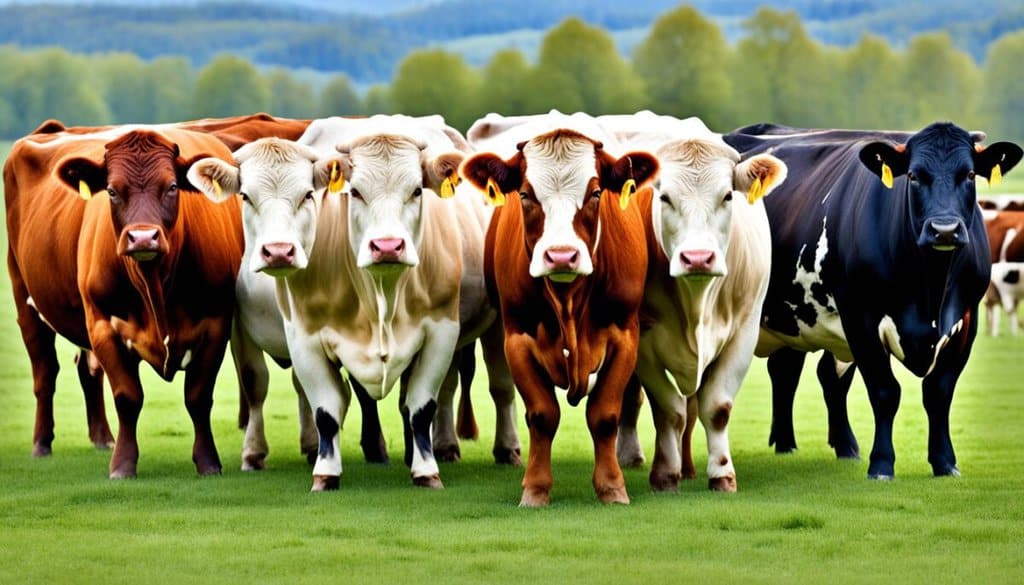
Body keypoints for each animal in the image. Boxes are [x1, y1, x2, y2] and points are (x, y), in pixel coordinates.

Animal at [5, 124, 244, 477]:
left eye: (172, 186)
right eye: (112, 191)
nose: (143, 237)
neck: (154, 284)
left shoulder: (216, 324)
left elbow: (198, 397)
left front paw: (207, 462)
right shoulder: (103, 324)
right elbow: (127, 396)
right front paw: (123, 464)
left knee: (86, 370)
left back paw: (102, 438)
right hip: (25, 299)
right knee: (45, 373)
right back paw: (42, 444)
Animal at [188, 115, 520, 491]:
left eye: (416, 190)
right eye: (356, 191)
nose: (388, 246)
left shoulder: (441, 331)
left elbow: (421, 407)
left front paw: (425, 470)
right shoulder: (301, 337)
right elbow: (326, 409)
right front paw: (324, 473)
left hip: (494, 325)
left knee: (497, 385)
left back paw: (497, 448)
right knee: (260, 385)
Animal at [462, 111, 659, 506]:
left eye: (596, 192)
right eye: (525, 194)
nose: (562, 255)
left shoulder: (624, 336)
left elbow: (605, 414)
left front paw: (612, 487)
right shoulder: (517, 338)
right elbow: (541, 414)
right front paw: (535, 488)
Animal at [597, 112, 787, 492]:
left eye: (728, 196)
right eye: (665, 197)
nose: (698, 258)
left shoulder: (744, 334)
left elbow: (716, 408)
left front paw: (722, 473)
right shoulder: (644, 341)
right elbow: (669, 411)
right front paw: (665, 474)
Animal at [723, 122, 1022, 479]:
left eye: (970, 175)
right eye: (913, 176)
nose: (945, 230)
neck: (929, 293)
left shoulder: (965, 321)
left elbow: (939, 392)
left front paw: (944, 462)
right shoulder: (861, 319)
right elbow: (885, 392)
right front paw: (881, 463)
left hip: (795, 321)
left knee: (796, 371)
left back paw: (814, 445)